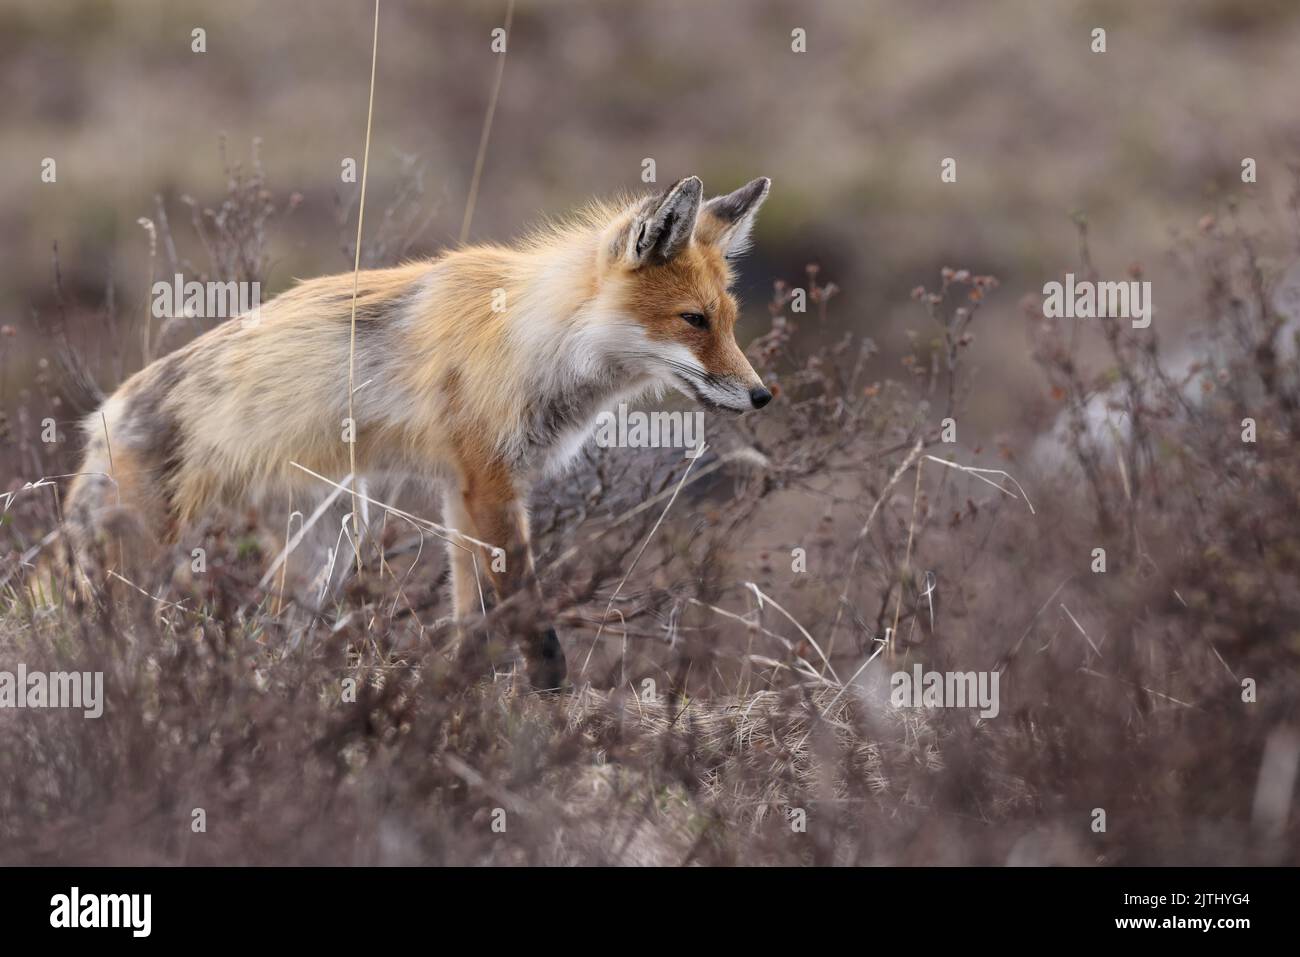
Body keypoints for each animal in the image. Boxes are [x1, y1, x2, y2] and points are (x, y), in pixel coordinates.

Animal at [63, 175, 774, 689]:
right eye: (694, 320)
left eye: (730, 320)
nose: (763, 395)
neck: (532, 339)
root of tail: (99, 418)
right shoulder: (489, 482)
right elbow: (528, 610)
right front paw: (548, 694)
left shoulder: (462, 491)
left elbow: (471, 617)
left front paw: (456, 694)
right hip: (157, 557)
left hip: (326, 544)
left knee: (272, 632)